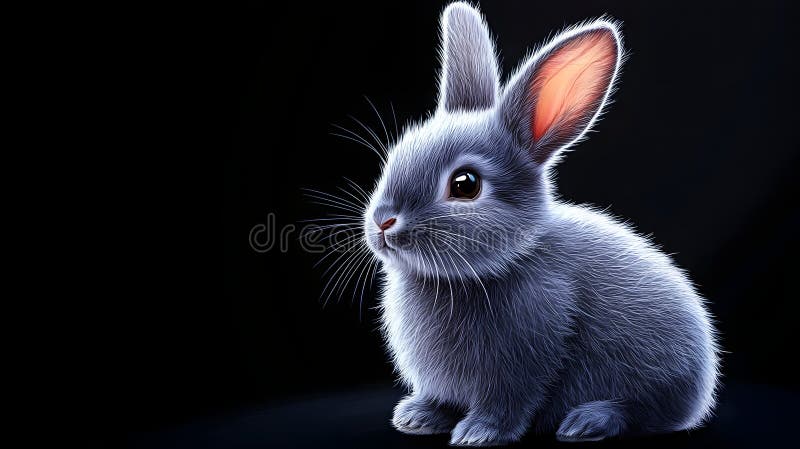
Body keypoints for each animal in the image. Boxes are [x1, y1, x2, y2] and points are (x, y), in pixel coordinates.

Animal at [358, 2, 719, 446]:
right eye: (397, 154)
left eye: (465, 184)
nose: (383, 223)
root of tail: (703, 381)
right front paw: (417, 416)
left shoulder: (530, 348)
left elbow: (511, 400)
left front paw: (478, 433)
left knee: (642, 412)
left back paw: (588, 421)